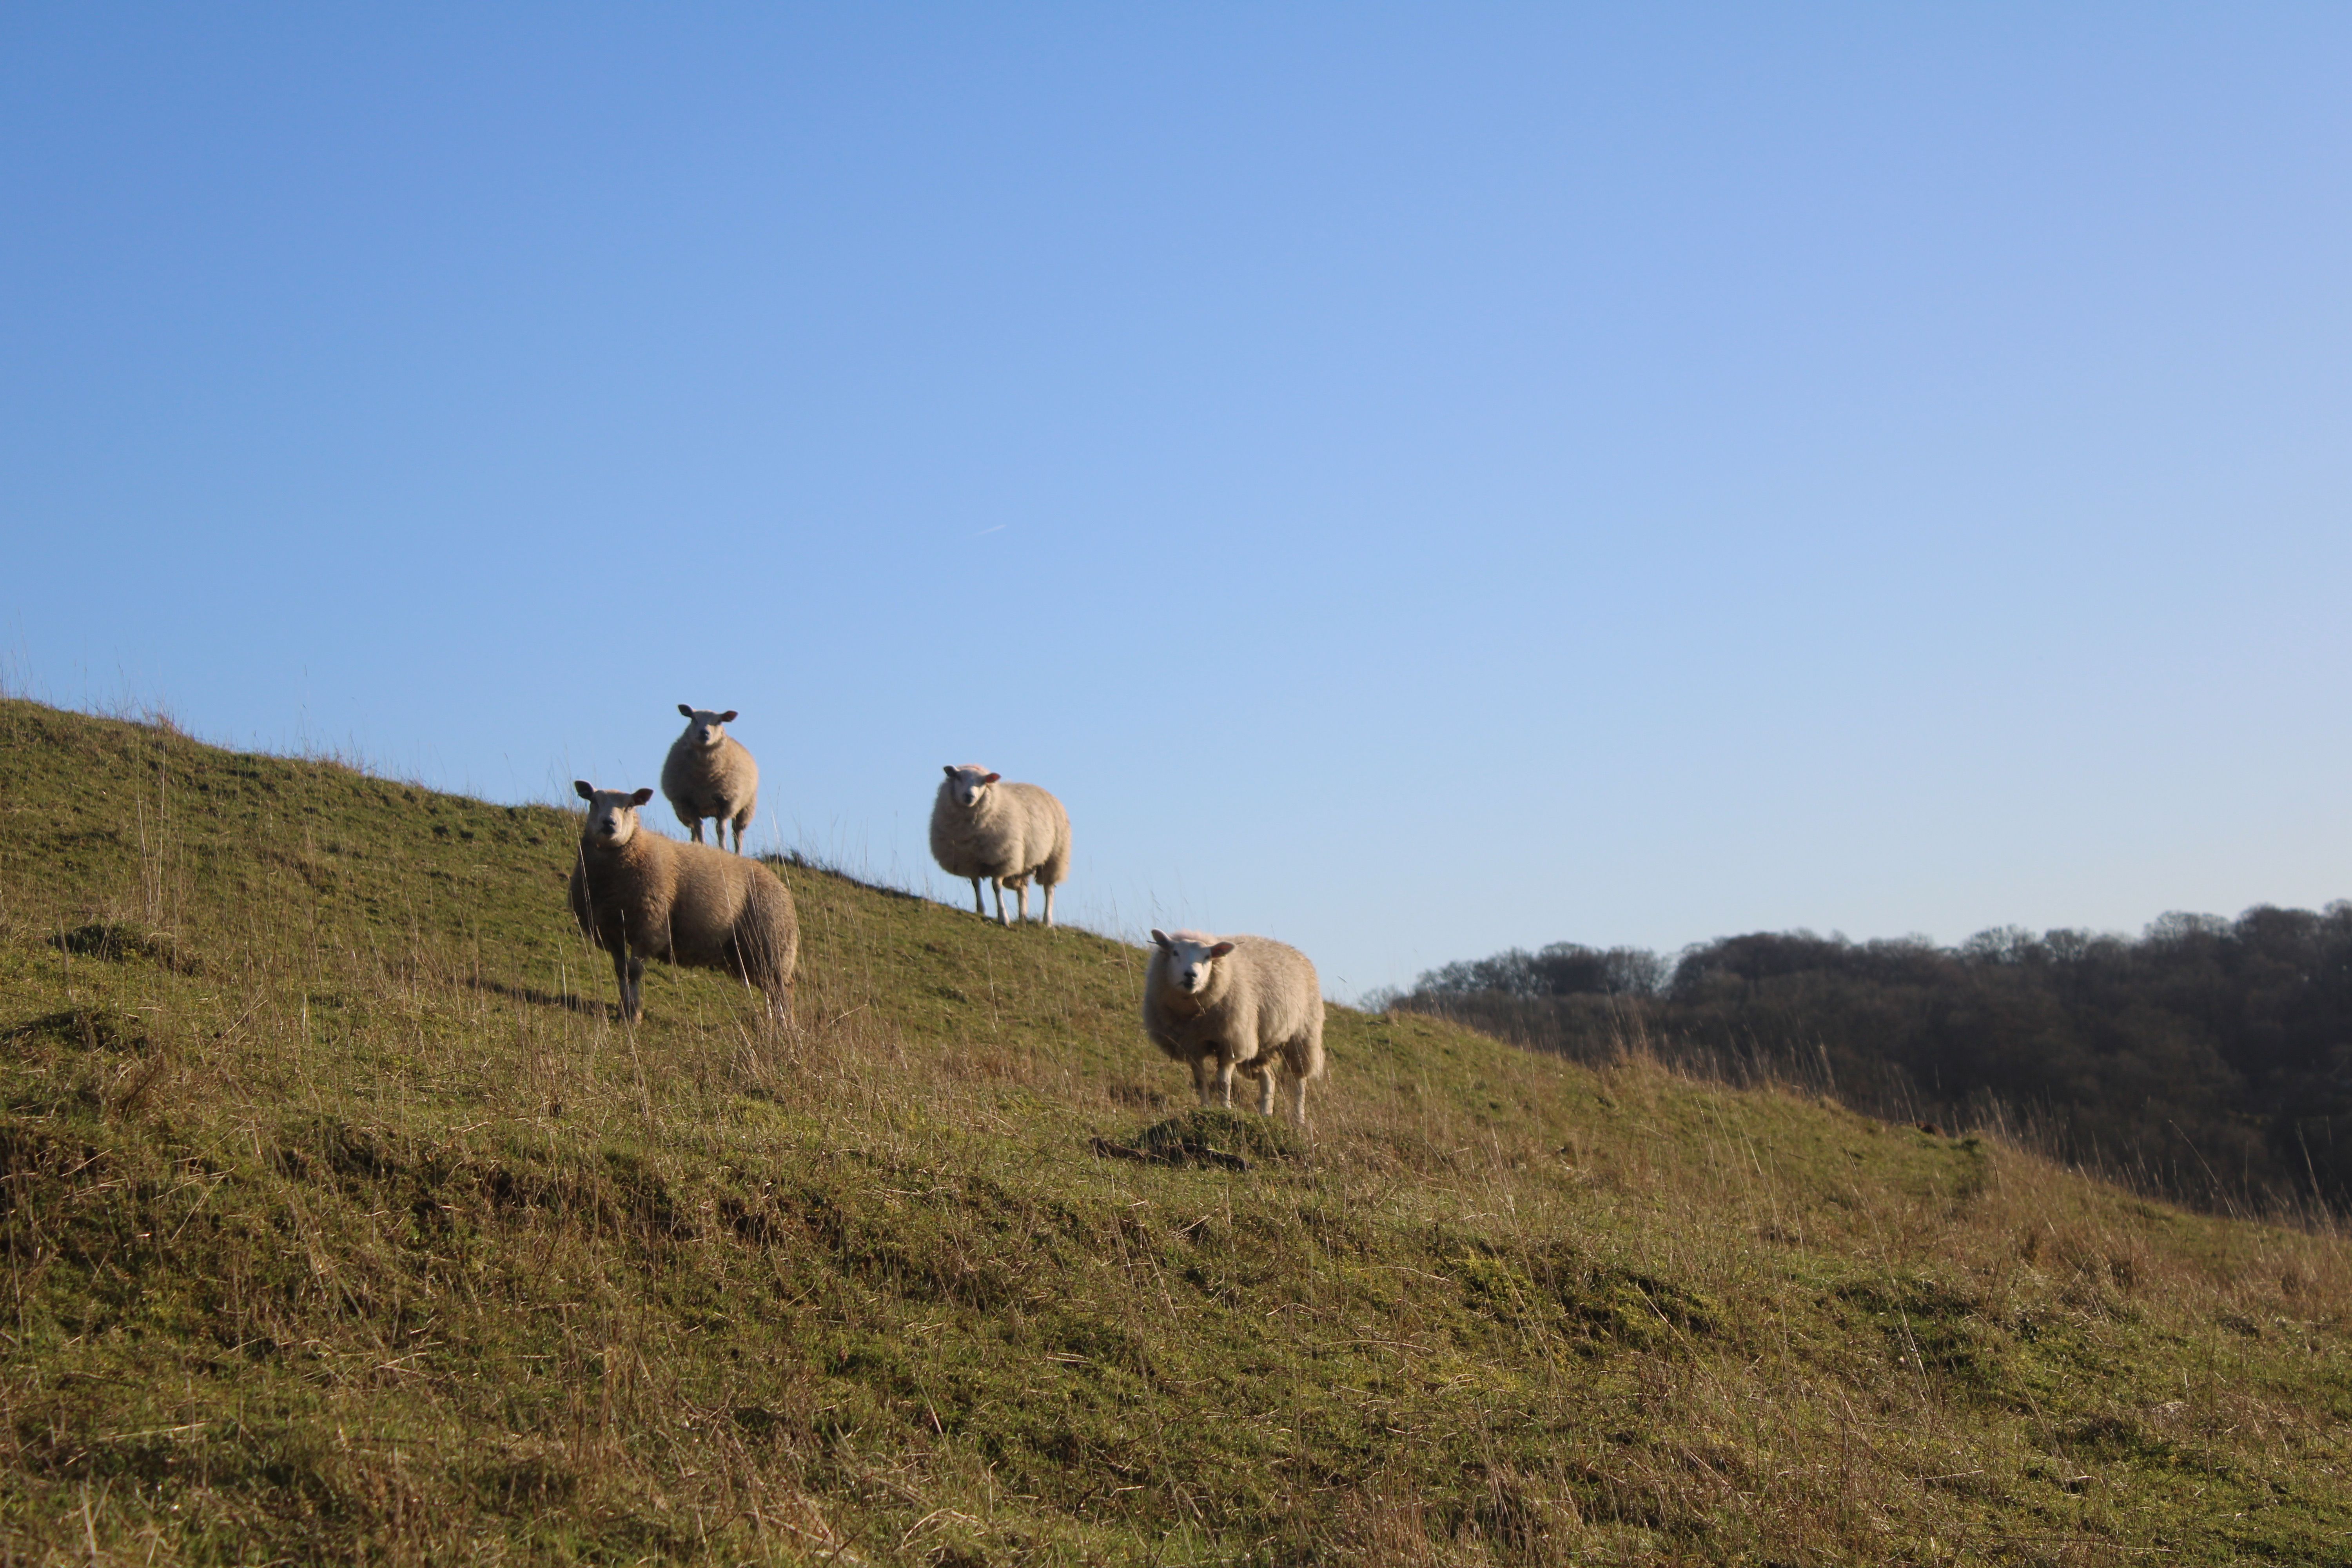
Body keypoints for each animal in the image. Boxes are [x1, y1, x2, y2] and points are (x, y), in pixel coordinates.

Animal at [568, 781, 798, 1025]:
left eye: (630, 806)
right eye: (594, 801)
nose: (609, 824)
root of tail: (780, 885)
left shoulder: (649, 929)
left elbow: (635, 972)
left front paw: (634, 1014)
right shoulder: (610, 931)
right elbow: (622, 971)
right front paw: (624, 1011)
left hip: (772, 944)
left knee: (784, 987)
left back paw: (787, 1027)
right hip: (745, 953)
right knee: (770, 988)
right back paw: (773, 1026)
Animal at [661, 705, 759, 853]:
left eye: (719, 721)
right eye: (694, 718)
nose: (704, 733)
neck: (705, 777)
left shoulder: (725, 802)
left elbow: (721, 830)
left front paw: (723, 848)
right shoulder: (689, 803)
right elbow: (699, 827)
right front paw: (702, 846)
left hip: (747, 807)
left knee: (738, 832)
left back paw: (739, 853)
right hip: (683, 812)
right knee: (693, 829)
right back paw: (694, 844)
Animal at [929, 765, 1071, 926]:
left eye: (984, 782)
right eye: (958, 777)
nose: (969, 796)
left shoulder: (1001, 860)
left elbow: (996, 887)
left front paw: (1004, 917)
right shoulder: (970, 861)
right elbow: (976, 885)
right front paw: (981, 910)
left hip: (1055, 856)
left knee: (1049, 889)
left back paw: (1047, 921)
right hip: (1024, 860)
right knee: (1023, 889)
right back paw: (1022, 918)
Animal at [1143, 929, 1327, 1128]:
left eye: (1208, 957)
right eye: (1175, 953)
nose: (1191, 975)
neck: (1196, 1015)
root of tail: (1297, 953)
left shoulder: (1231, 1042)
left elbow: (1224, 1083)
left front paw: (1226, 1110)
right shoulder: (1192, 1046)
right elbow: (1200, 1081)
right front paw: (1205, 1109)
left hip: (1303, 1034)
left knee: (1298, 1080)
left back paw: (1298, 1120)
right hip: (1262, 1043)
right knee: (1268, 1077)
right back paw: (1266, 1114)